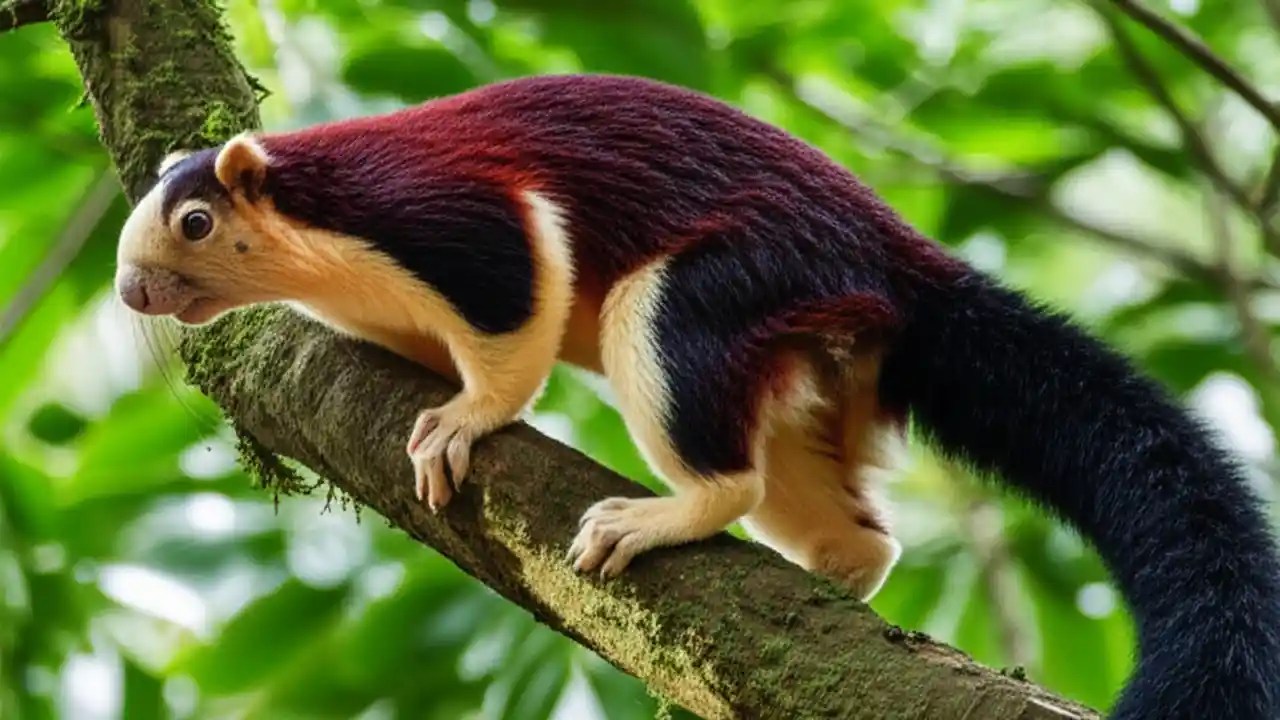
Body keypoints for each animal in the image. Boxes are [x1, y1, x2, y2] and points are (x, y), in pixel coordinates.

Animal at [113, 73, 1280, 719]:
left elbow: (518, 303)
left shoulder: (444, 219)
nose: (128, 291)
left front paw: (463, 422)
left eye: (196, 224)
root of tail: (902, 273)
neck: (317, 244)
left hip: (724, 285)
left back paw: (654, 518)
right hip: (810, 366)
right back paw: (830, 579)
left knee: (714, 442)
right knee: (845, 523)